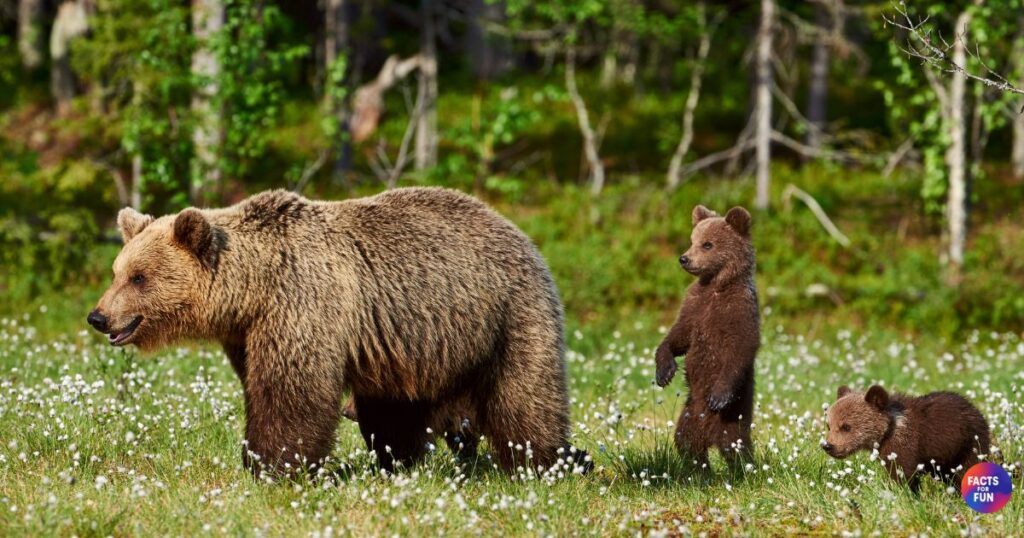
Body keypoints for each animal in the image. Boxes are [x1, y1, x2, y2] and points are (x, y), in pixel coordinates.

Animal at [87, 187, 586, 476]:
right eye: (116, 272)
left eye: (139, 277)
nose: (99, 317)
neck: (252, 290)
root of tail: (519, 232)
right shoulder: (247, 333)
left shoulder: (303, 303)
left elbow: (292, 391)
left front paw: (273, 466)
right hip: (414, 342)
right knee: (394, 410)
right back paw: (398, 462)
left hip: (508, 314)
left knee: (524, 397)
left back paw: (549, 462)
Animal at [654, 205, 759, 468]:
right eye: (692, 240)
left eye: (708, 244)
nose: (684, 258)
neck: (716, 285)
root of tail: (710, 436)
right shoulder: (695, 307)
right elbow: (679, 336)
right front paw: (664, 371)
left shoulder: (739, 311)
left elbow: (741, 348)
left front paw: (718, 396)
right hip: (689, 413)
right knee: (686, 443)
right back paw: (701, 470)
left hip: (734, 417)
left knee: (737, 448)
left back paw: (743, 470)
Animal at [823, 385, 991, 492]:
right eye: (829, 425)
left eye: (846, 426)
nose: (828, 446)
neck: (888, 430)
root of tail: (974, 408)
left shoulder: (904, 446)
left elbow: (902, 473)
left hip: (969, 444)